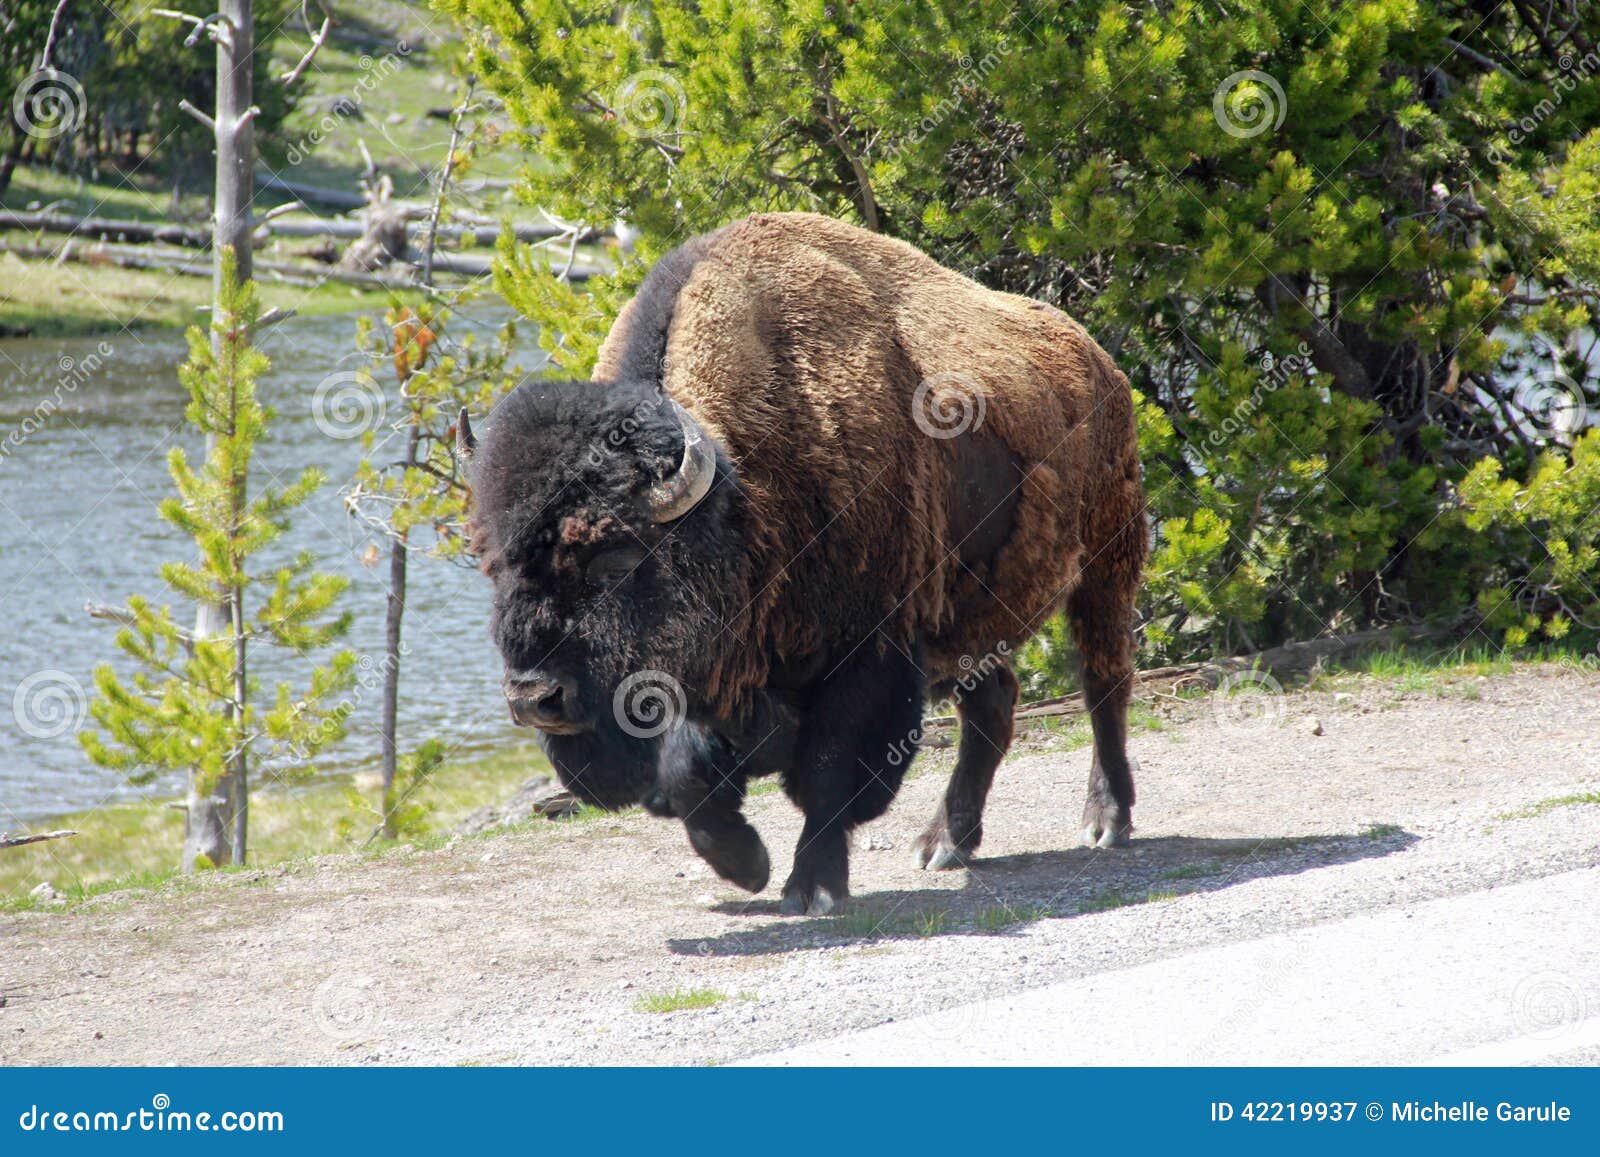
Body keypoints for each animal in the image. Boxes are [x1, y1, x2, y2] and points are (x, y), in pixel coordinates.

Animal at [460, 213, 1145, 915]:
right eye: (494, 566)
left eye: (617, 557)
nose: (534, 697)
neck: (740, 501)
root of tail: (1097, 361)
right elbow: (687, 775)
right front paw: (746, 866)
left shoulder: (865, 653)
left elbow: (827, 773)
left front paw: (811, 887)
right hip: (970, 621)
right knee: (994, 705)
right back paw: (943, 844)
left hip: (1106, 561)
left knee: (1104, 682)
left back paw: (1105, 820)